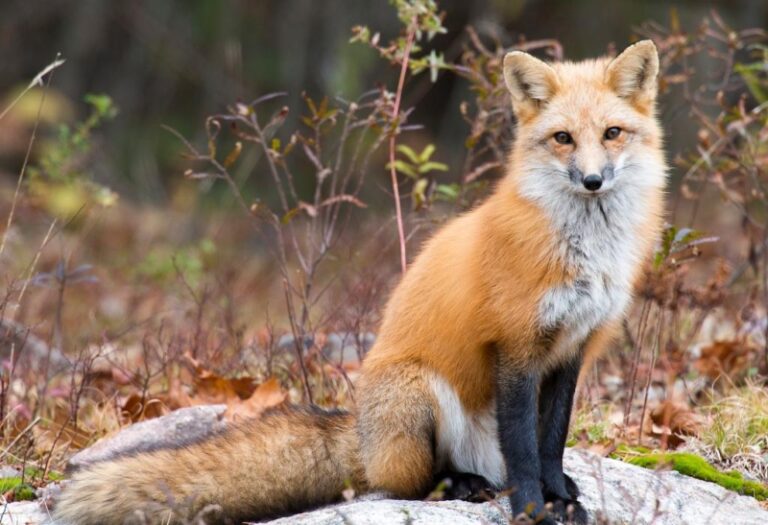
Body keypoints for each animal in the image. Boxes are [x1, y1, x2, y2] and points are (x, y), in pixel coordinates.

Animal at [55, 40, 666, 525]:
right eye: (563, 138)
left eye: (612, 134)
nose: (592, 180)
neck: (586, 252)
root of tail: (363, 434)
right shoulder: (515, 347)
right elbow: (522, 450)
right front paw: (535, 510)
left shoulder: (572, 349)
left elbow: (551, 441)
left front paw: (561, 497)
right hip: (417, 393)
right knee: (407, 483)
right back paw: (459, 484)